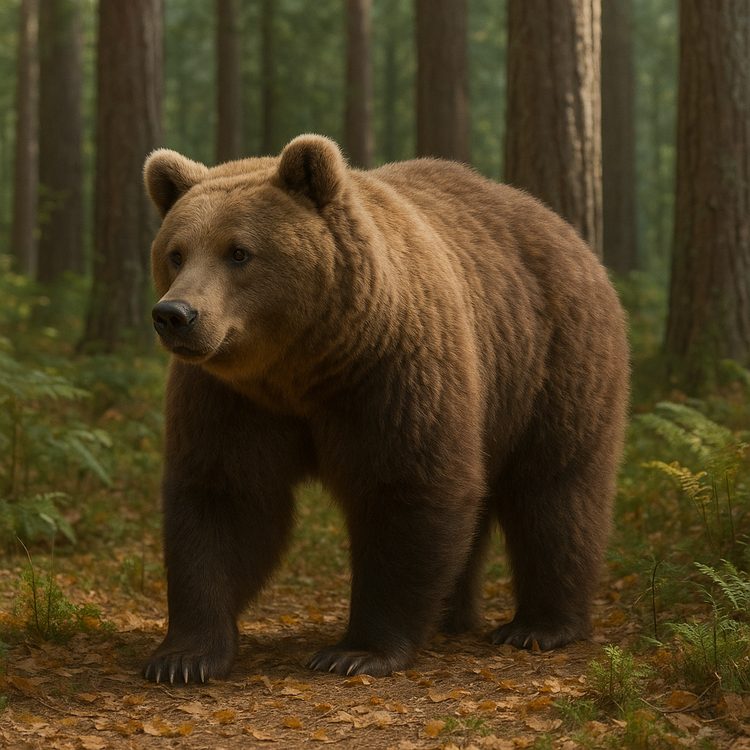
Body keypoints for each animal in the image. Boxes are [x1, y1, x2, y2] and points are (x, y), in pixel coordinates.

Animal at [142, 134, 629, 684]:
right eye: (176, 253)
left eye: (239, 251)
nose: (174, 315)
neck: (303, 367)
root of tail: (568, 232)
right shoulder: (230, 396)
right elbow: (224, 496)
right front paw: (184, 657)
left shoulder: (393, 372)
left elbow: (406, 488)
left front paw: (356, 651)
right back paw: (450, 617)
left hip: (551, 363)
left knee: (553, 489)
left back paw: (539, 626)